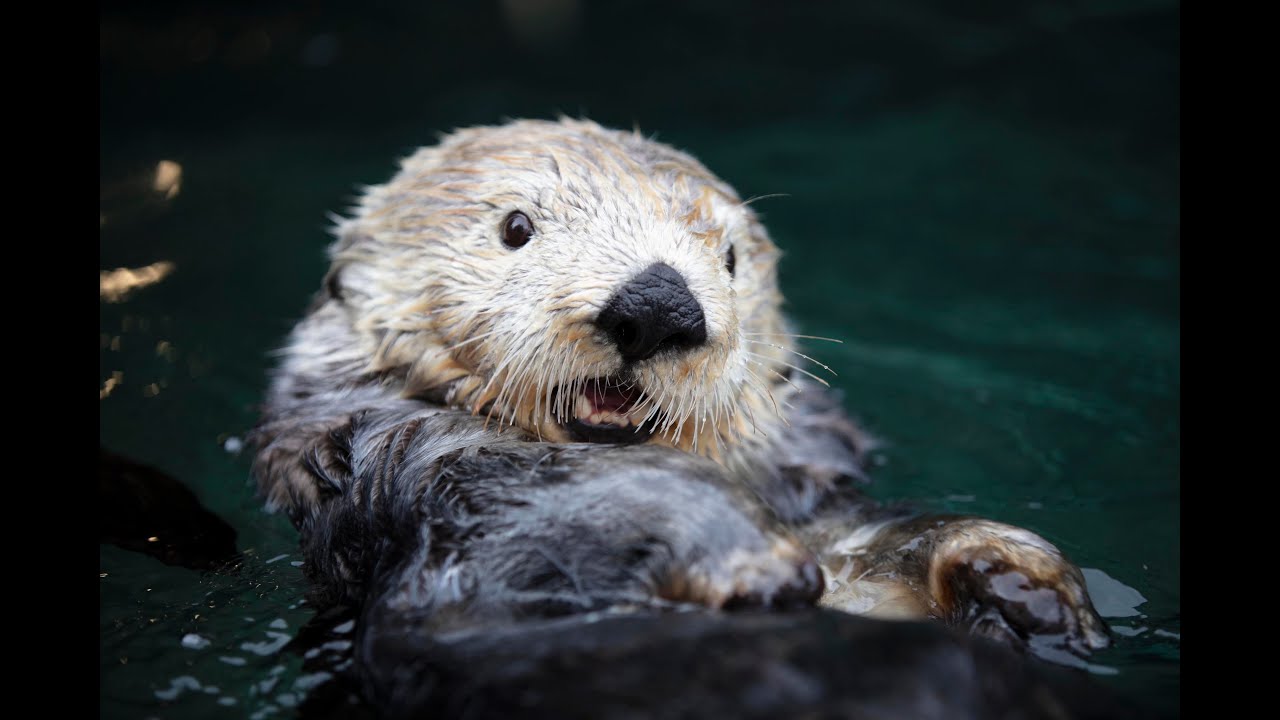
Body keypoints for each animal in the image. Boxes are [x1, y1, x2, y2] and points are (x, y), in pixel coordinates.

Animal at [251, 118, 1112, 713]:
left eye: (728, 258)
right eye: (515, 228)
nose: (658, 304)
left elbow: (873, 543)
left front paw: (1016, 569)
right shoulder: (433, 474)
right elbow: (597, 502)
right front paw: (749, 558)